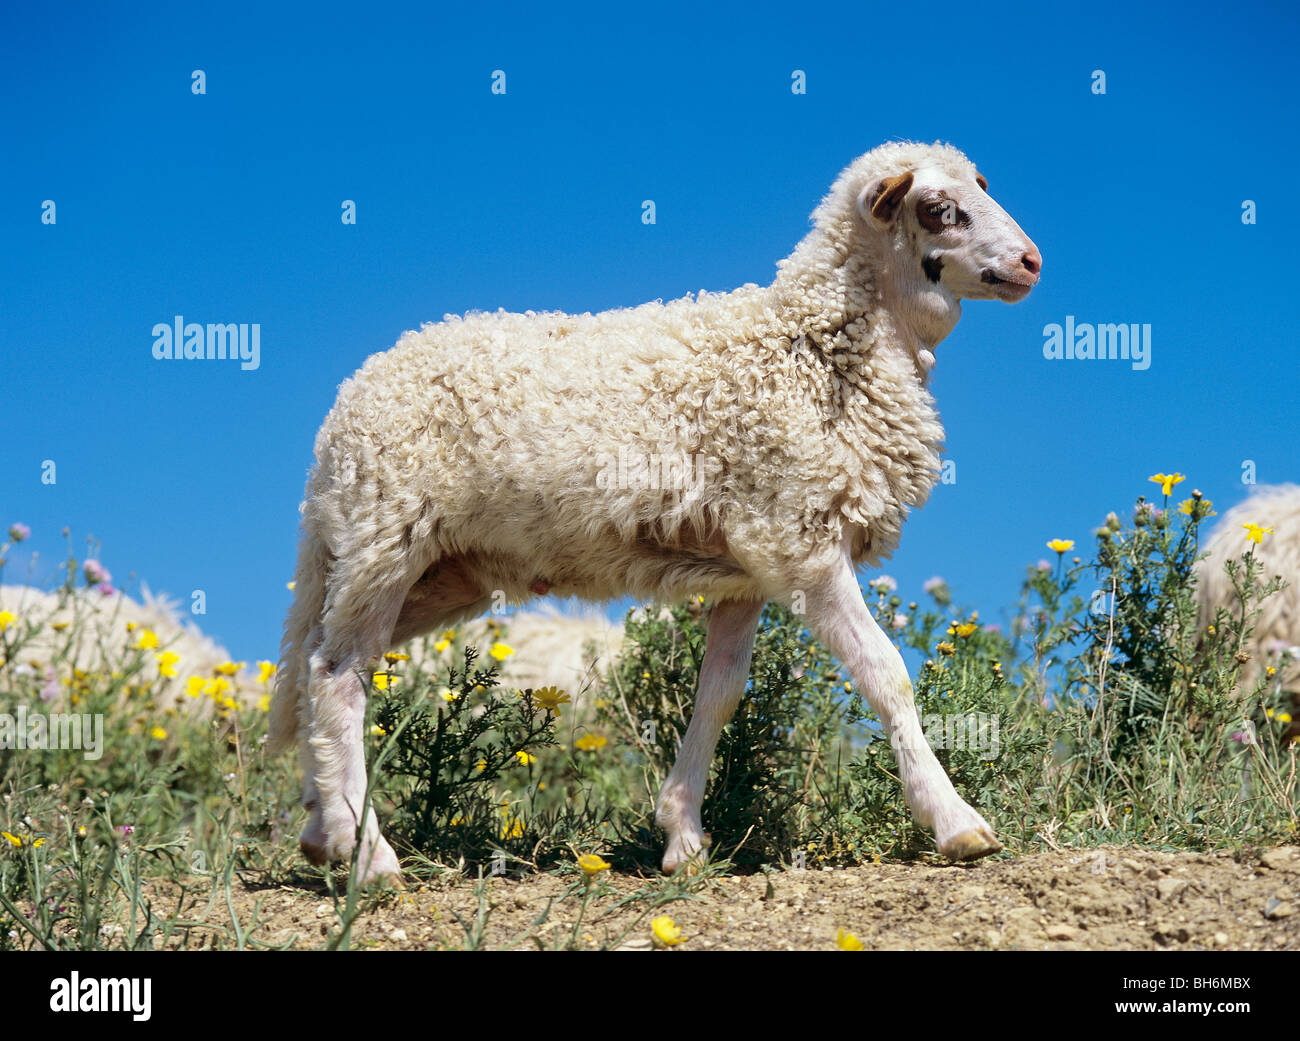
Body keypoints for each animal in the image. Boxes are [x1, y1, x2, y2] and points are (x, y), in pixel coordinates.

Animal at [268, 140, 1043, 883]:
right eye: (939, 208)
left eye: (982, 184)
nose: (1032, 261)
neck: (814, 350)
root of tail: (342, 410)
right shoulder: (801, 541)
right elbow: (886, 674)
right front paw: (955, 822)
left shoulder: (749, 567)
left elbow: (718, 694)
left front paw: (682, 835)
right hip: (385, 537)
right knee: (337, 676)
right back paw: (368, 855)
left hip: (436, 569)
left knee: (313, 669)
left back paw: (322, 832)